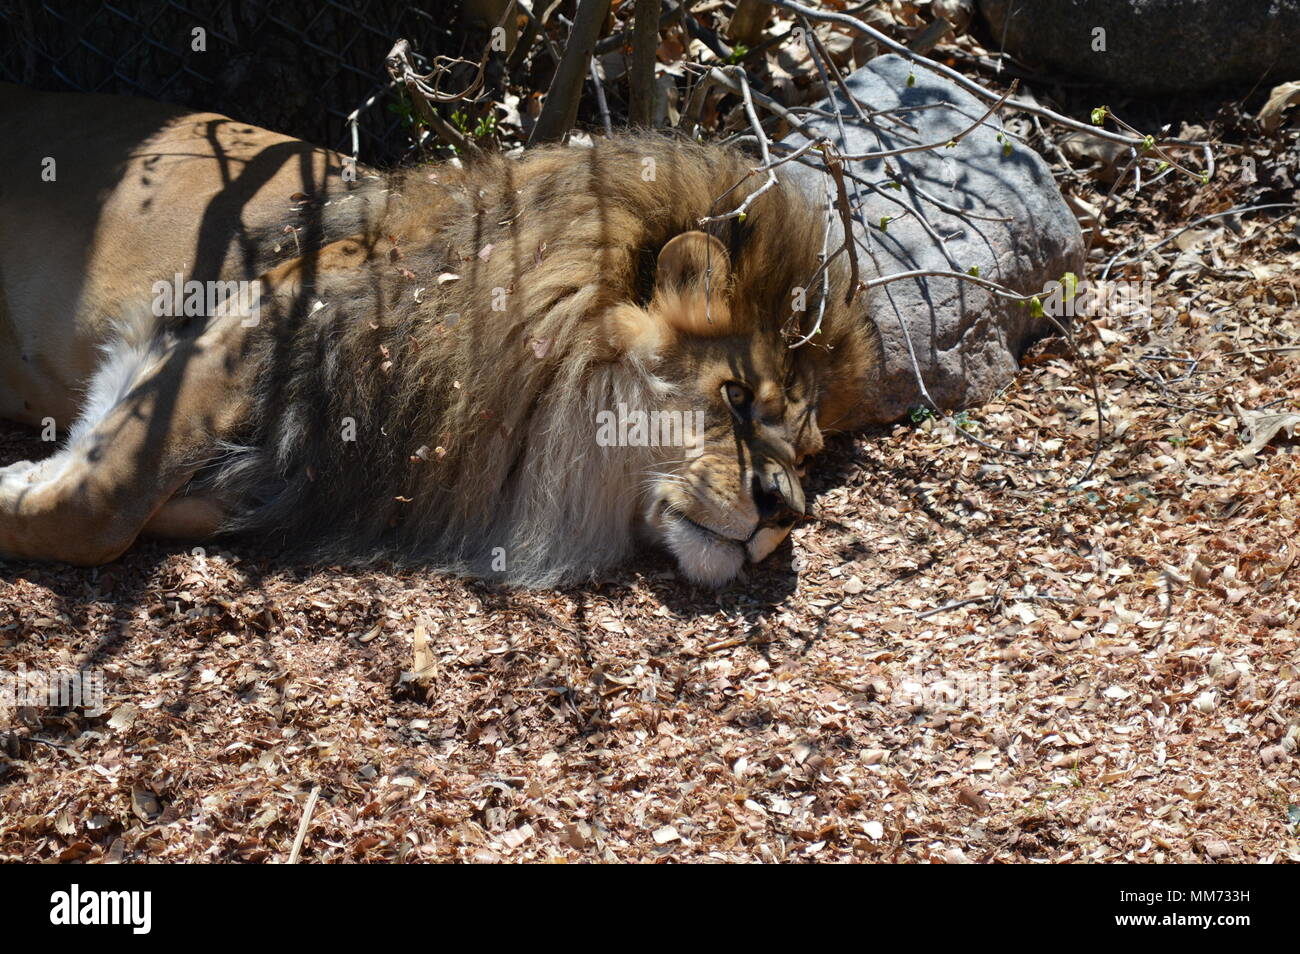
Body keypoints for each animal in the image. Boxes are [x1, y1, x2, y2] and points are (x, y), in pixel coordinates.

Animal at [0, 83, 881, 587]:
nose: (782, 510)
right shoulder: (260, 315)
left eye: (807, 456)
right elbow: (98, 508)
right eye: (734, 397)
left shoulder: (271, 487)